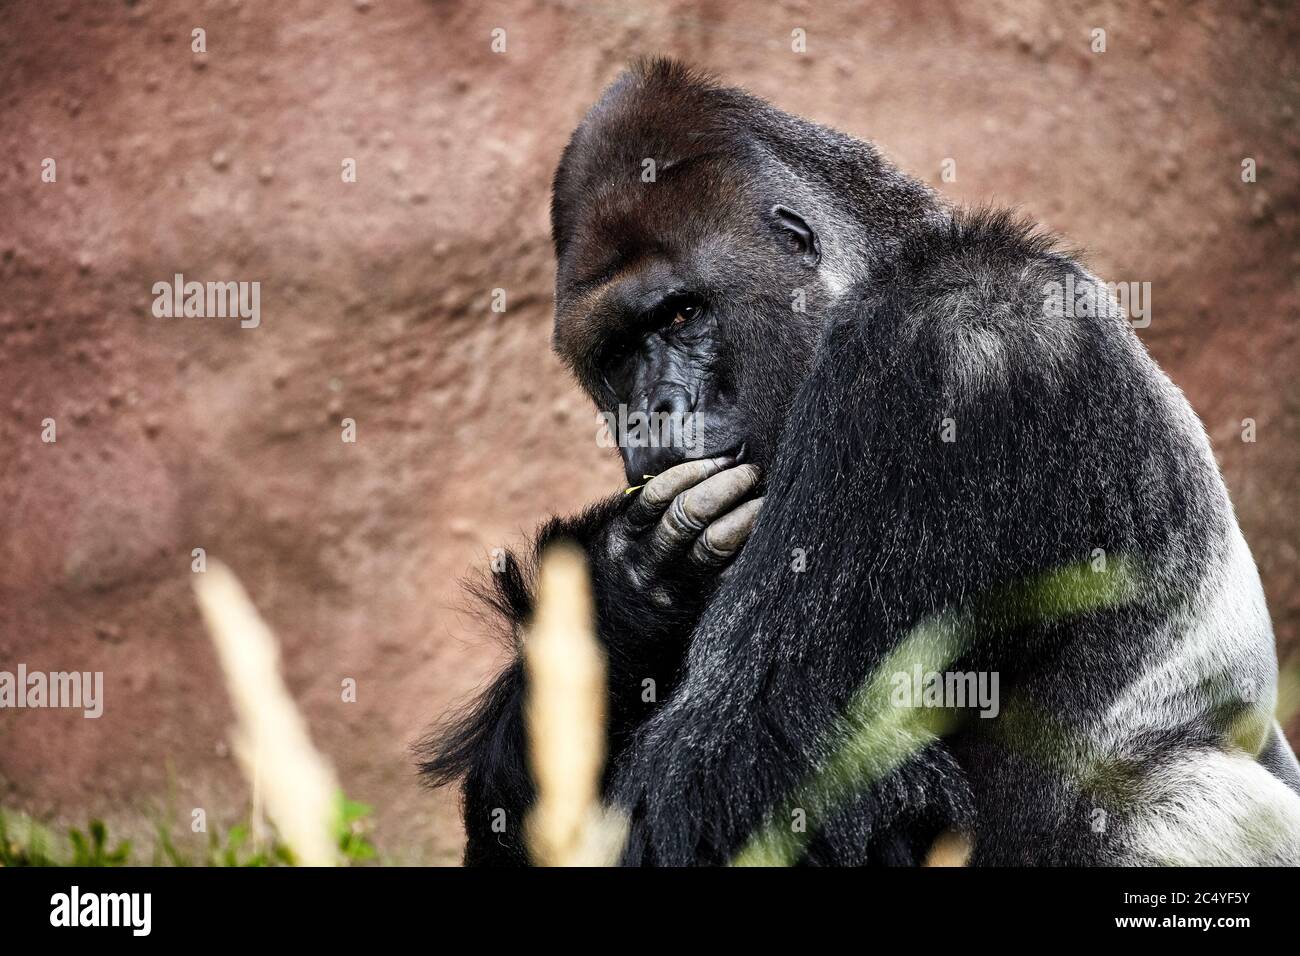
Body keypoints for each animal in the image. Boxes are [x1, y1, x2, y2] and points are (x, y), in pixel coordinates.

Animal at [421, 58, 1300, 866]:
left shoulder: (939, 356)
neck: (890, 260)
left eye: (680, 314)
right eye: (613, 357)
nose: (651, 415)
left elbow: (721, 774)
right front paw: (631, 585)